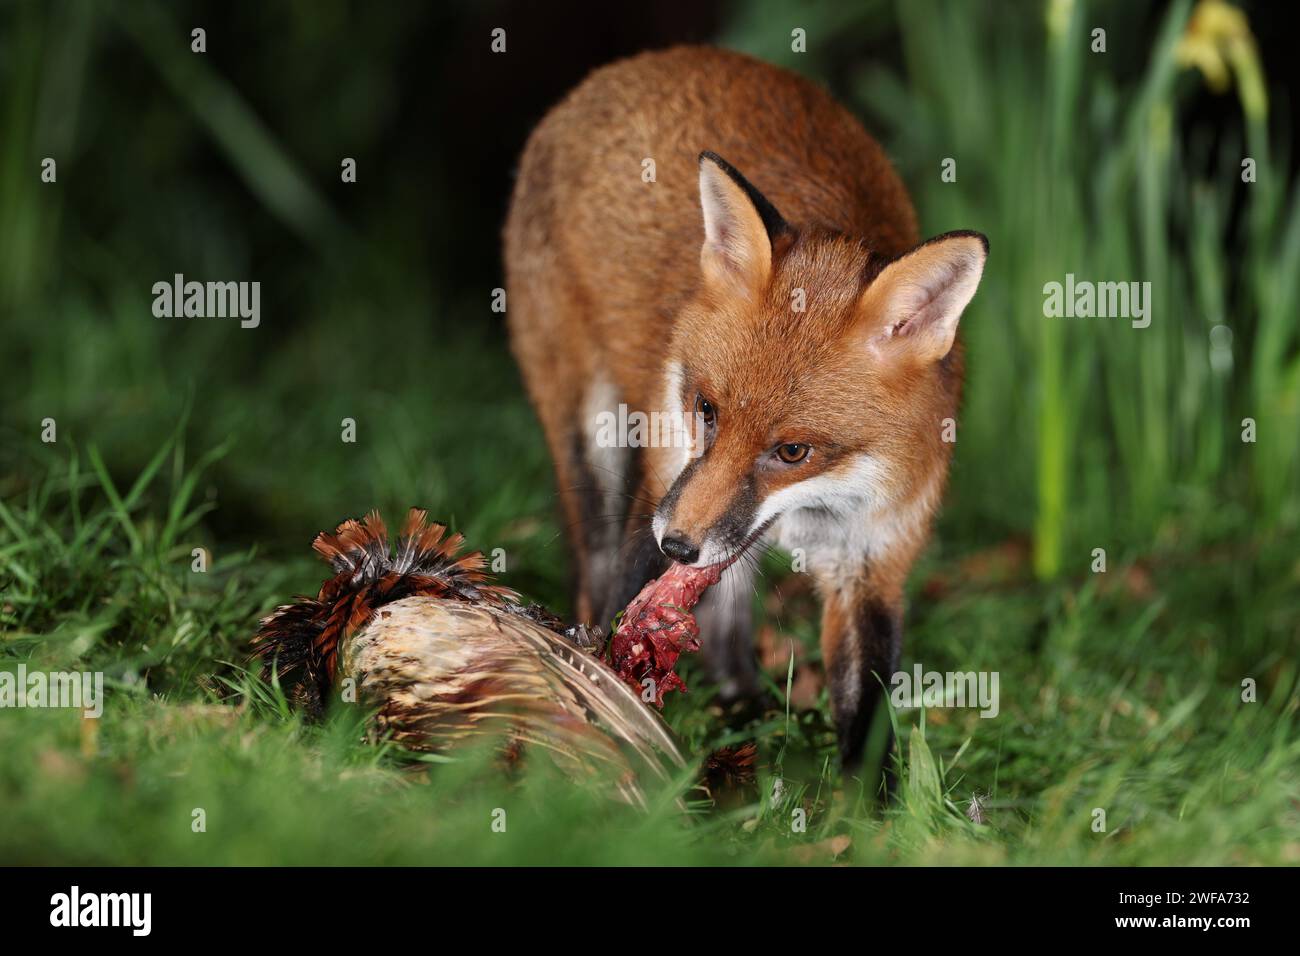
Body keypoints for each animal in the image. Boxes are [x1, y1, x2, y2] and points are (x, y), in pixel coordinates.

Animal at [504, 46, 987, 770]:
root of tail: (630, 67)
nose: (677, 543)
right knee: (595, 569)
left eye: (793, 451)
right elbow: (624, 607)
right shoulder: (664, 479)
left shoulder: (874, 555)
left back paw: (739, 698)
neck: (815, 510)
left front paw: (868, 803)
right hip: (593, 438)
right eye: (706, 410)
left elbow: (867, 712)